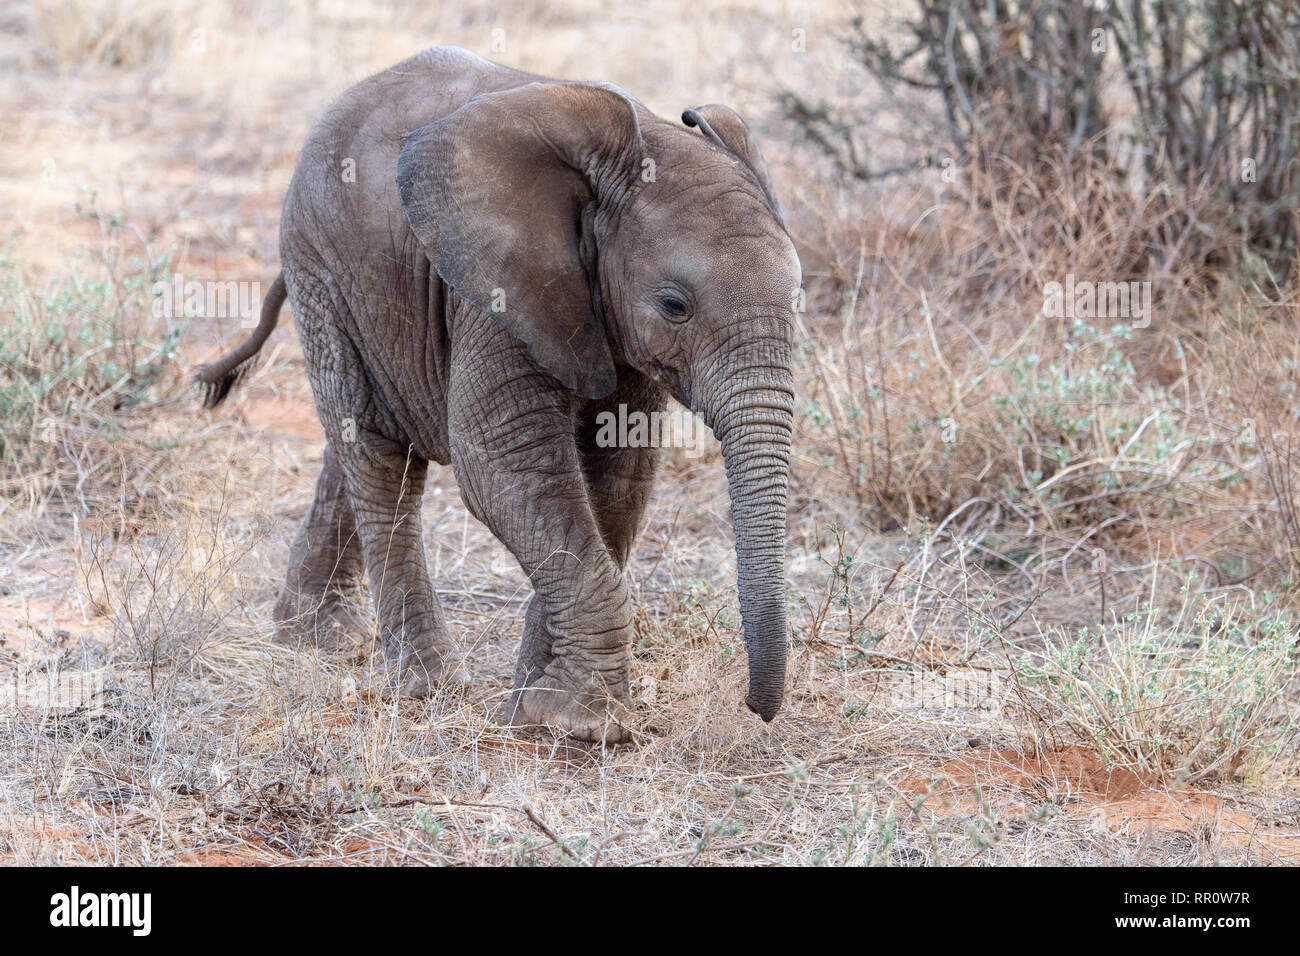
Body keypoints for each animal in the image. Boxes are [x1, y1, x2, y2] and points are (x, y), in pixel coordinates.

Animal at [197, 46, 801, 743]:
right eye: (675, 306)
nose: (757, 708)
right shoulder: (495, 294)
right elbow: (504, 469)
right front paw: (581, 724)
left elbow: (618, 480)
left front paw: (531, 709)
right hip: (320, 265)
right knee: (378, 457)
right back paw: (427, 685)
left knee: (362, 440)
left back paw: (315, 639)